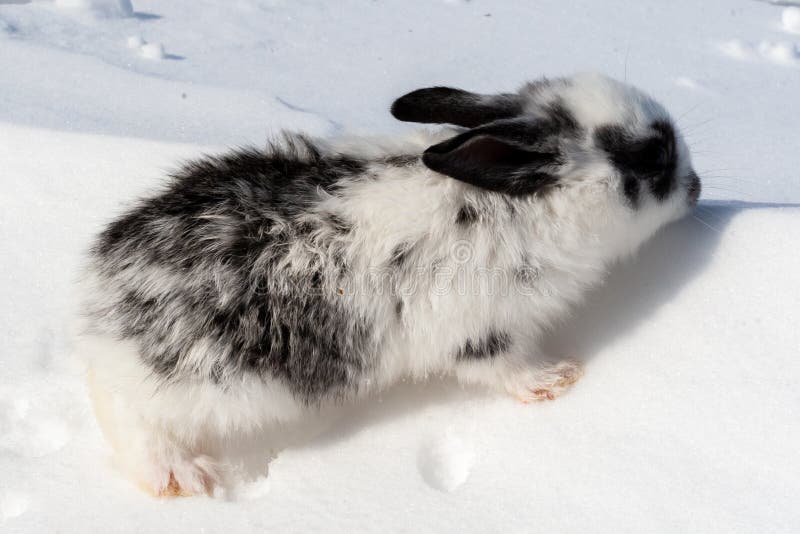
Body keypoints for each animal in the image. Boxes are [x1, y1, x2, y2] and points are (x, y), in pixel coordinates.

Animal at [78, 72, 701, 496]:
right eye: (653, 156)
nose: (695, 188)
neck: (521, 205)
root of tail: (102, 303)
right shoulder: (480, 330)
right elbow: (504, 367)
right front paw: (558, 380)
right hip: (201, 384)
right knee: (129, 412)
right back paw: (182, 476)